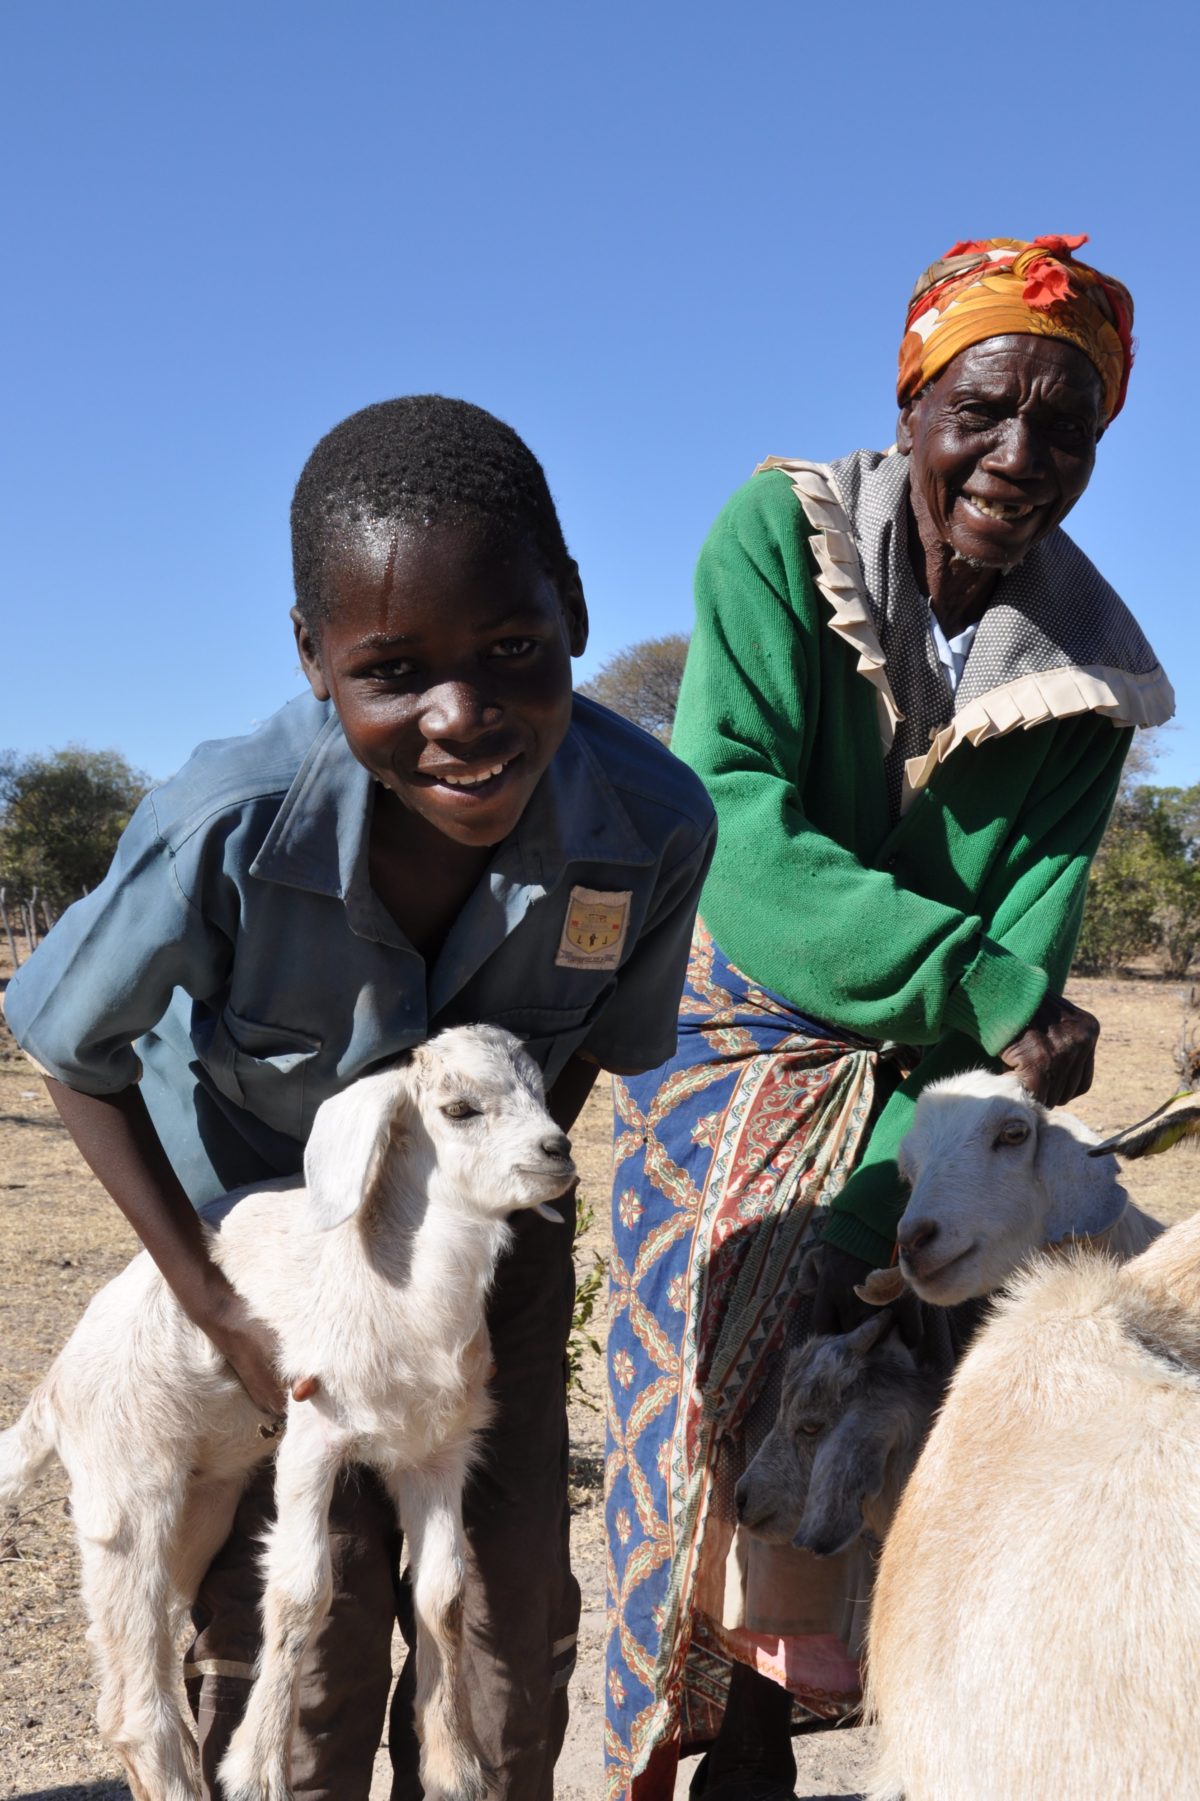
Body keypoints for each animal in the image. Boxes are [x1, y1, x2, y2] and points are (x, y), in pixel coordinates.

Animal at [0, 1024, 575, 1801]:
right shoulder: (312, 1431)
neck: (400, 1297)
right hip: (125, 1491)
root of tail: (52, 1390)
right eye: (459, 1109)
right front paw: (255, 1766)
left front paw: (456, 1763)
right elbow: (301, 1589)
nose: (557, 1150)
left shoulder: (436, 1450)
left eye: (542, 1091)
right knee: (130, 1701)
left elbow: (446, 1592)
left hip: (201, 1508)